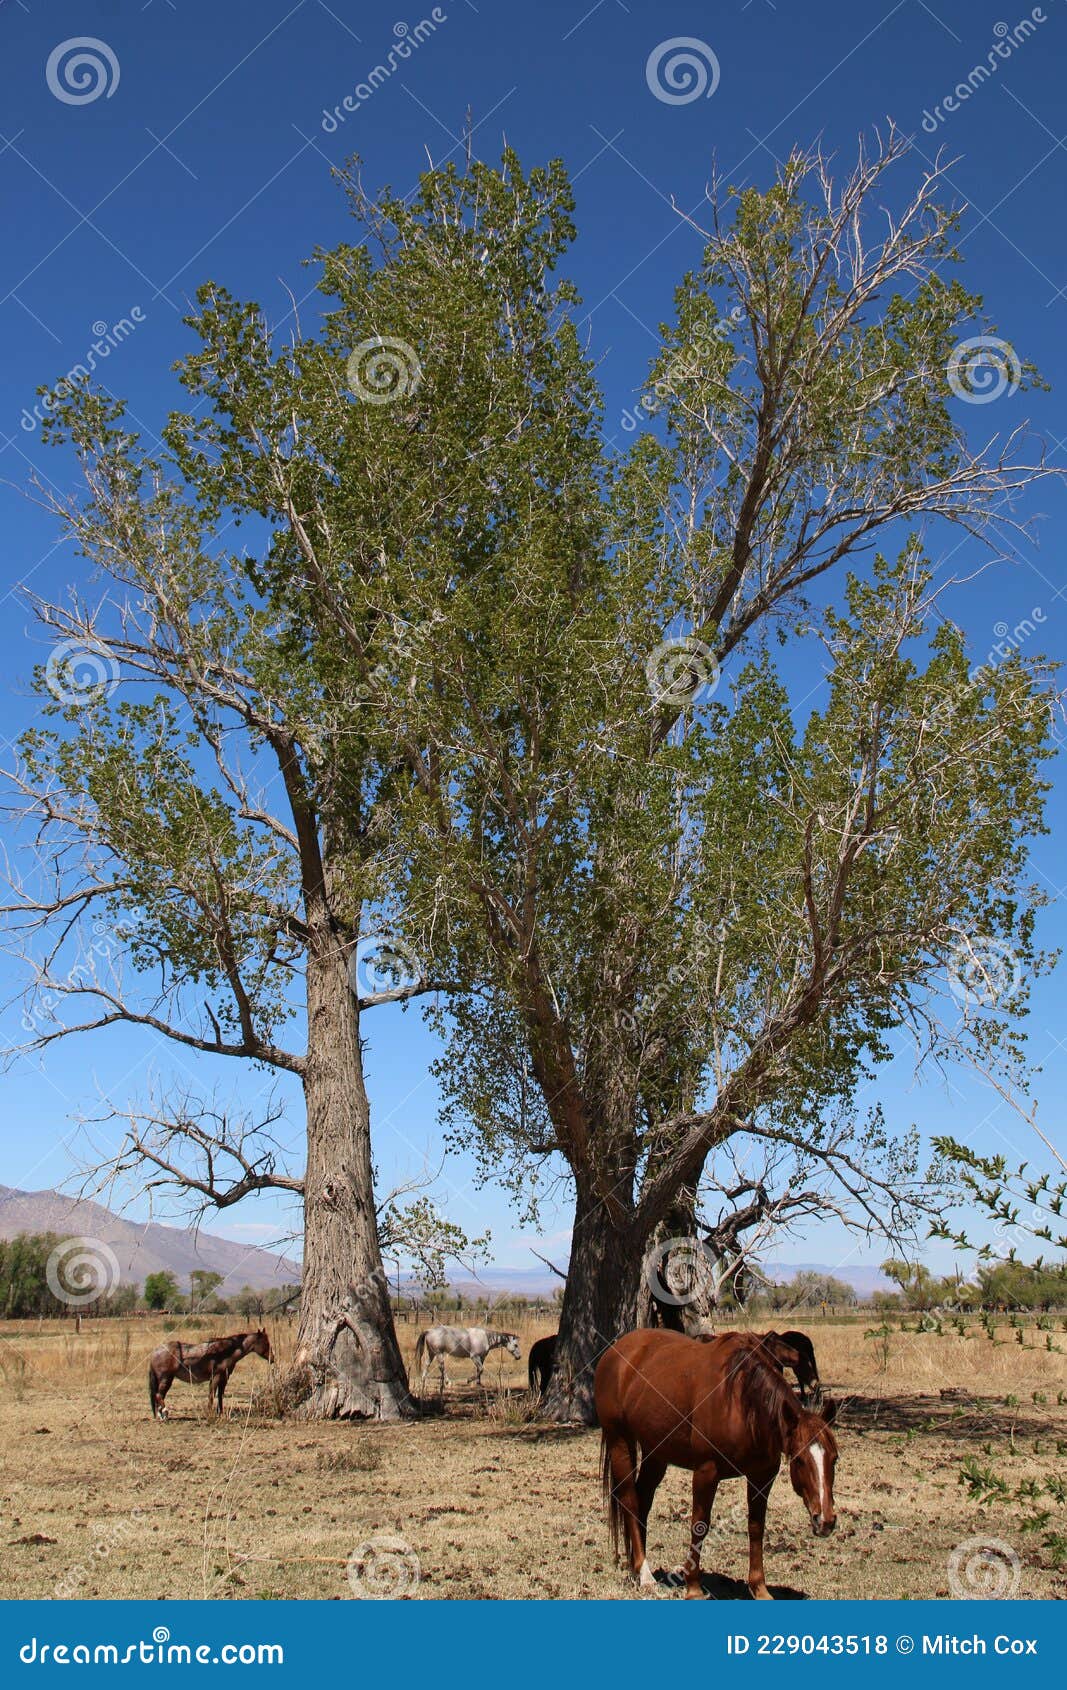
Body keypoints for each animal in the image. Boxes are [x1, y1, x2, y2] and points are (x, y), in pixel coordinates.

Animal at [595, 1328, 838, 1600]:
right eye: (800, 1460)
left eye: (834, 1458)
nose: (825, 1521)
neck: (740, 1404)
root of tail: (614, 1352)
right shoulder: (706, 1472)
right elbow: (699, 1525)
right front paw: (693, 1587)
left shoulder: (762, 1476)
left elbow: (756, 1526)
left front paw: (759, 1588)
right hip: (619, 1441)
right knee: (629, 1501)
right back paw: (645, 1574)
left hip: (655, 1453)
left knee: (642, 1501)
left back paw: (637, 1569)